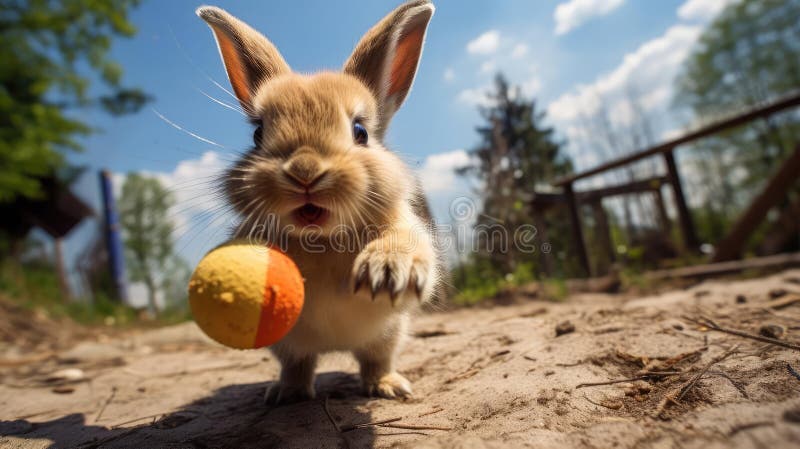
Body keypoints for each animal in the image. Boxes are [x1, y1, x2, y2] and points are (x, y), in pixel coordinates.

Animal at [197, 0, 440, 404]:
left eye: (360, 132)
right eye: (258, 134)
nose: (304, 170)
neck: (322, 239)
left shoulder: (407, 230)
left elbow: (404, 245)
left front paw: (385, 272)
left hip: (389, 335)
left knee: (374, 361)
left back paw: (388, 387)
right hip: (288, 345)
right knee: (300, 365)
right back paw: (286, 393)